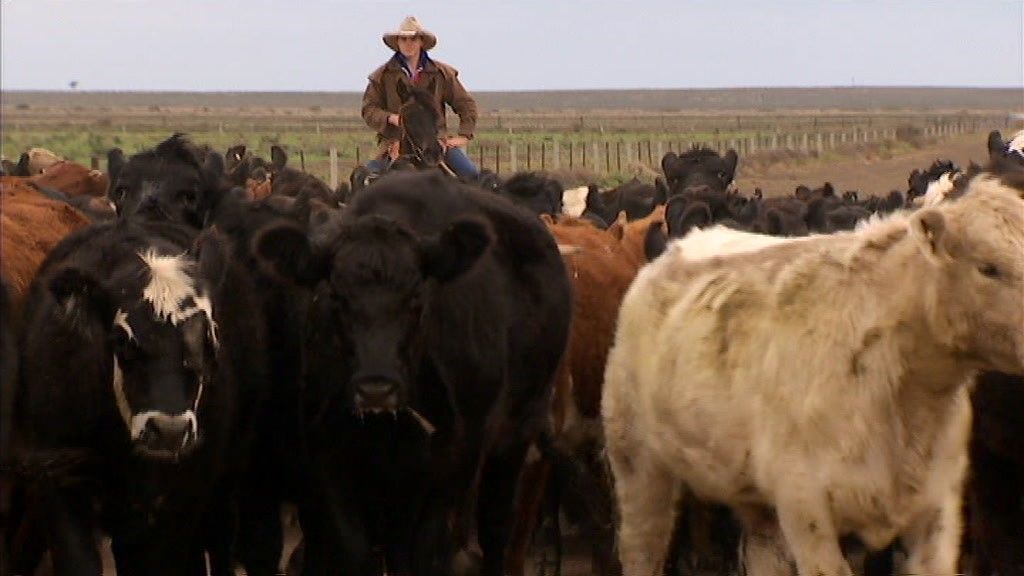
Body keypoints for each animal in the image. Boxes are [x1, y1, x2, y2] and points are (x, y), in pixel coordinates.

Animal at [253, 170, 572, 576]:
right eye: (336, 296)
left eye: (417, 297)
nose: (376, 389)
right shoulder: (329, 465)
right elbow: (355, 552)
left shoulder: (443, 472)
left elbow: (420, 554)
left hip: (517, 433)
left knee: (496, 526)